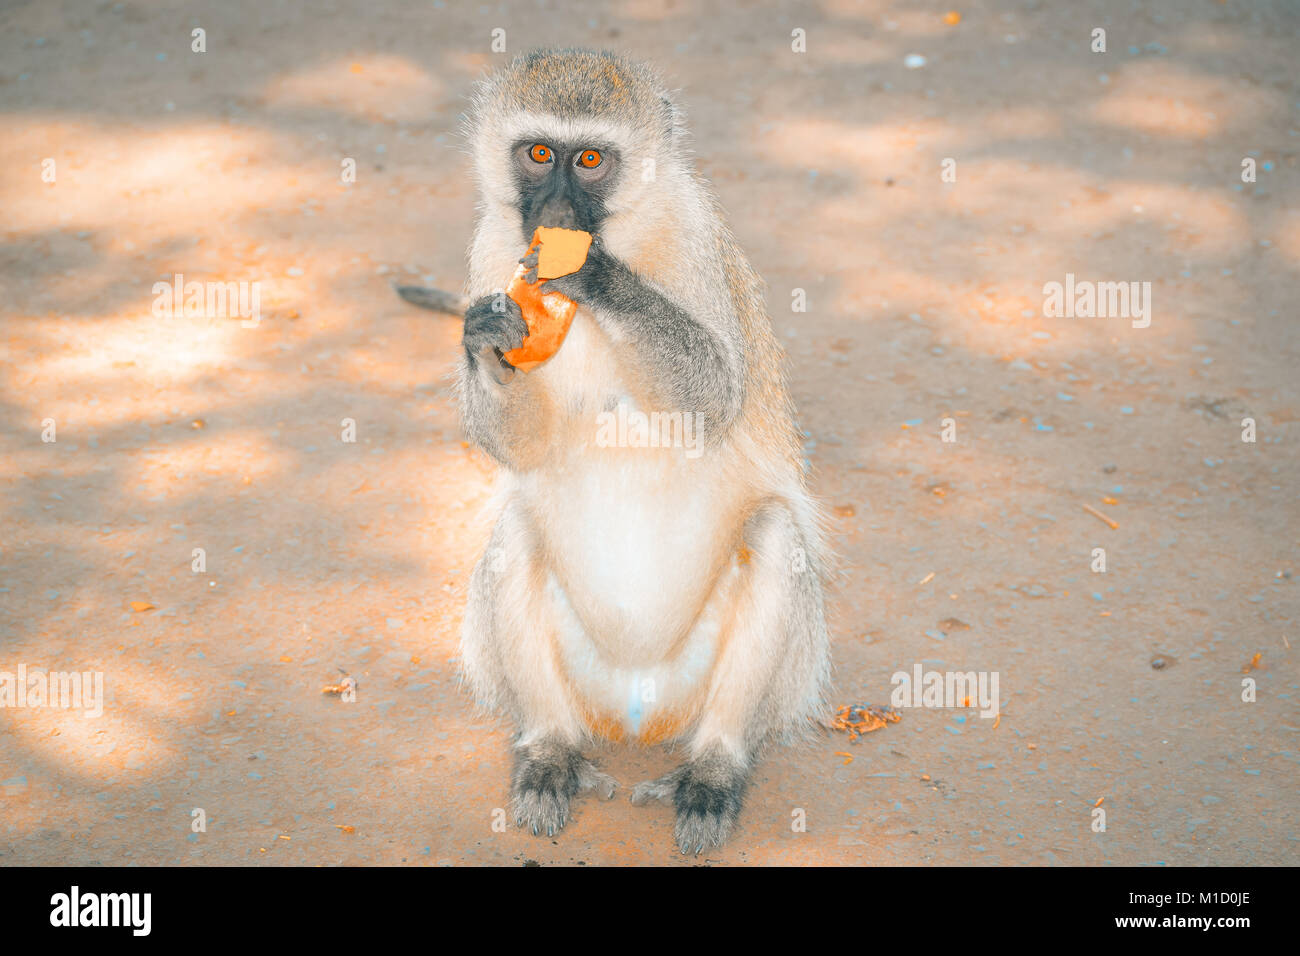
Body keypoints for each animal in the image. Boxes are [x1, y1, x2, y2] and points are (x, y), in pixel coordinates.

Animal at [402, 49, 831, 854]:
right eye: (540, 154)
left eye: (591, 160)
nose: (556, 216)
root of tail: (637, 709)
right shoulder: (491, 247)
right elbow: (522, 445)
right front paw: (490, 341)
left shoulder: (693, 232)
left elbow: (715, 396)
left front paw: (596, 275)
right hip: (582, 679)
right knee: (517, 531)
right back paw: (548, 751)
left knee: (772, 532)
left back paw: (715, 767)